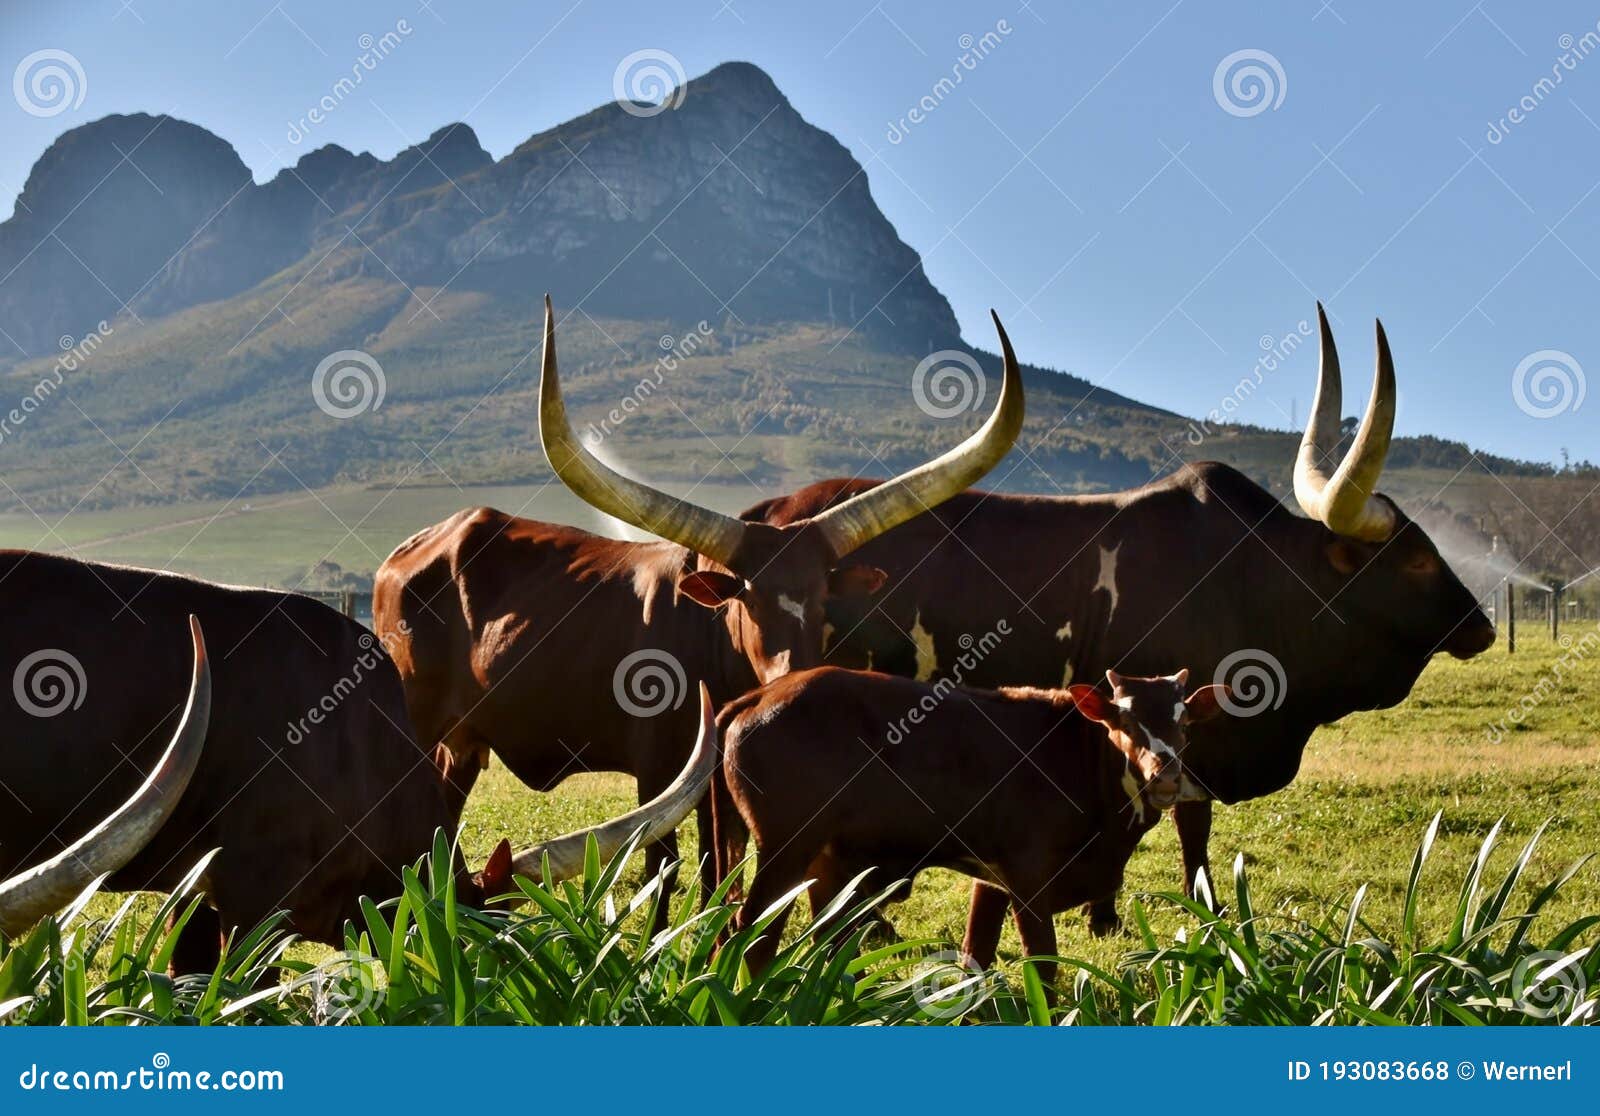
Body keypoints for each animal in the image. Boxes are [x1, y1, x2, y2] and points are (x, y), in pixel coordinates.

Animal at [373, 297, 1025, 923]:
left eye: (822, 597)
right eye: (745, 597)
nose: (791, 672)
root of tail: (413, 548)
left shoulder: (713, 781)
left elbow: (719, 872)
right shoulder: (660, 768)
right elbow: (665, 870)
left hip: (461, 742)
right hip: (418, 722)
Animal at [713, 666, 1228, 981]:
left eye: (1184, 722)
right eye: (1123, 722)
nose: (1166, 773)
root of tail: (761, 694)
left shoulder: (993, 877)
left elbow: (975, 954)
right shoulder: (1027, 874)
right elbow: (1042, 961)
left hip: (824, 857)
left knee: (828, 935)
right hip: (786, 848)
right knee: (753, 935)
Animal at [743, 307, 1496, 957]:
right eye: (1418, 558)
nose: (1484, 627)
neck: (1255, 577)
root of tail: (780, 509)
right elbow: (1192, 826)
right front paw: (1183, 915)